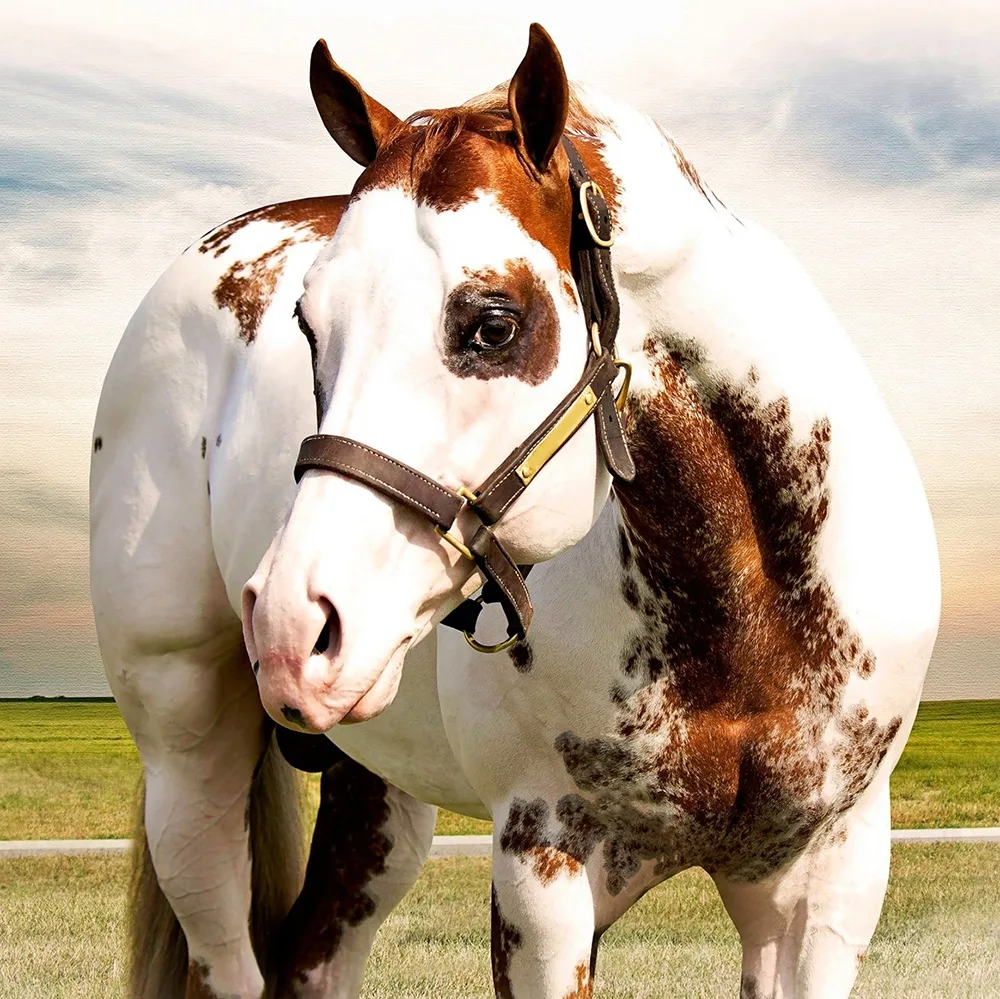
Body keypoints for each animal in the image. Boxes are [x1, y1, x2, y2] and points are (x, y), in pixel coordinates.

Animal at [89, 23, 940, 999]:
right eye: (308, 323)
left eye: (493, 323)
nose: (294, 624)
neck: (747, 606)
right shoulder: (542, 865)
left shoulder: (823, 877)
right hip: (187, 756)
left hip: (376, 793)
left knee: (312, 956)